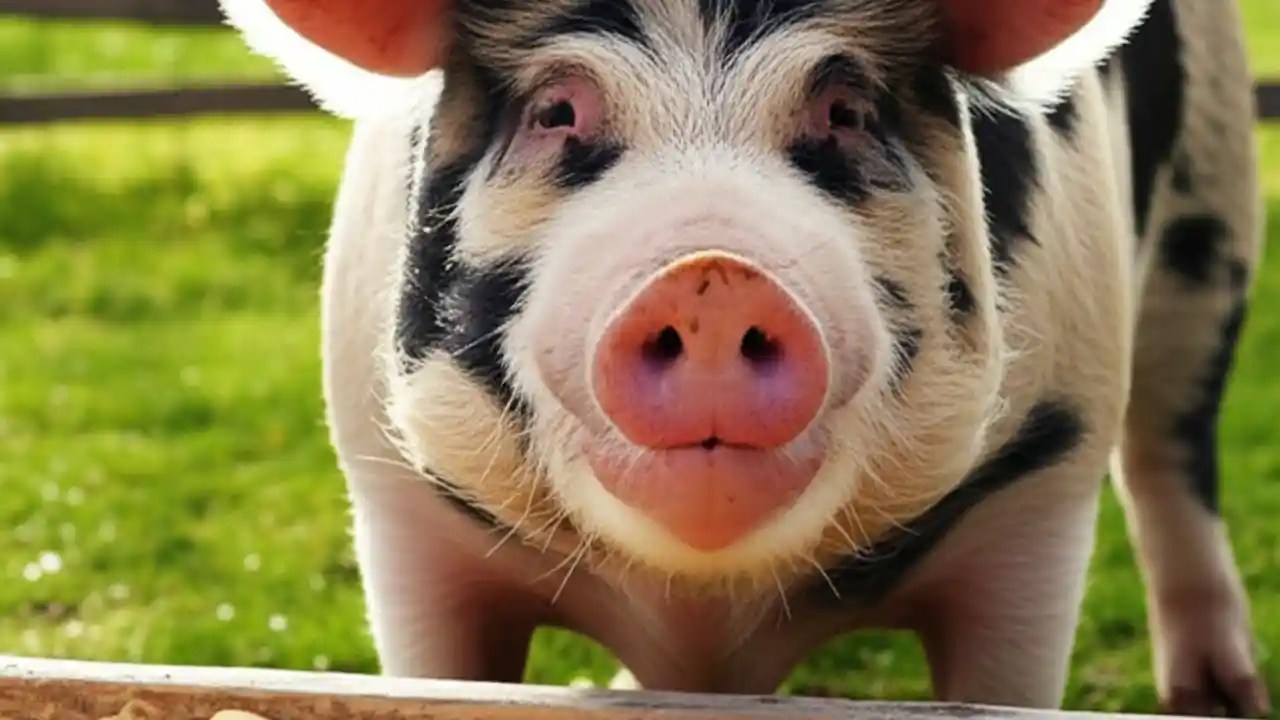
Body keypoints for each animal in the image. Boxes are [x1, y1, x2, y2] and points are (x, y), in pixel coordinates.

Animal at [220, 0, 1269, 715]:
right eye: (557, 109)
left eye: (846, 110)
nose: (711, 275)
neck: (707, 609)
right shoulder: (397, 498)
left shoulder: (1039, 494)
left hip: (1212, 220)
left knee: (1171, 455)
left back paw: (1223, 698)